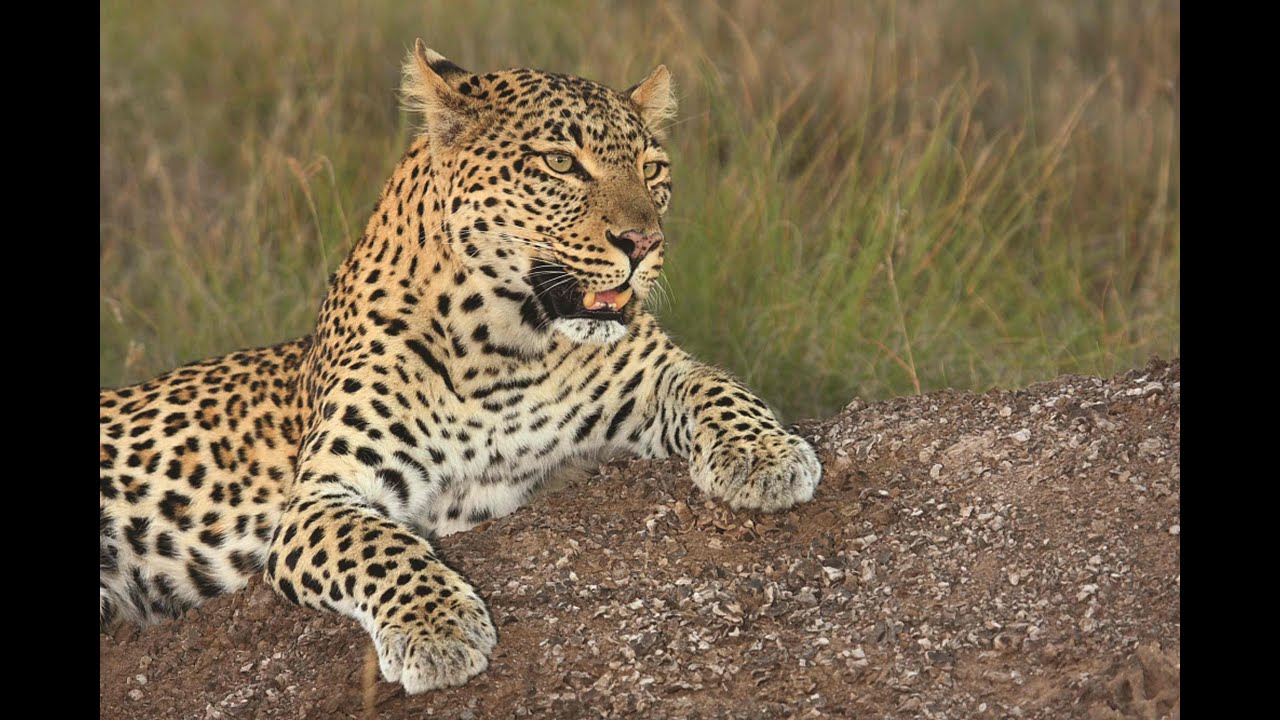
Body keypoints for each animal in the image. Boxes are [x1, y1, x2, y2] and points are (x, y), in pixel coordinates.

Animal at [99, 40, 822, 694]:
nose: (642, 243)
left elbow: (720, 385)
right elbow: (379, 546)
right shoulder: (323, 496)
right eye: (561, 163)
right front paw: (438, 630)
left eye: (653, 169)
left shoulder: (650, 376)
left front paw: (765, 458)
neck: (506, 343)